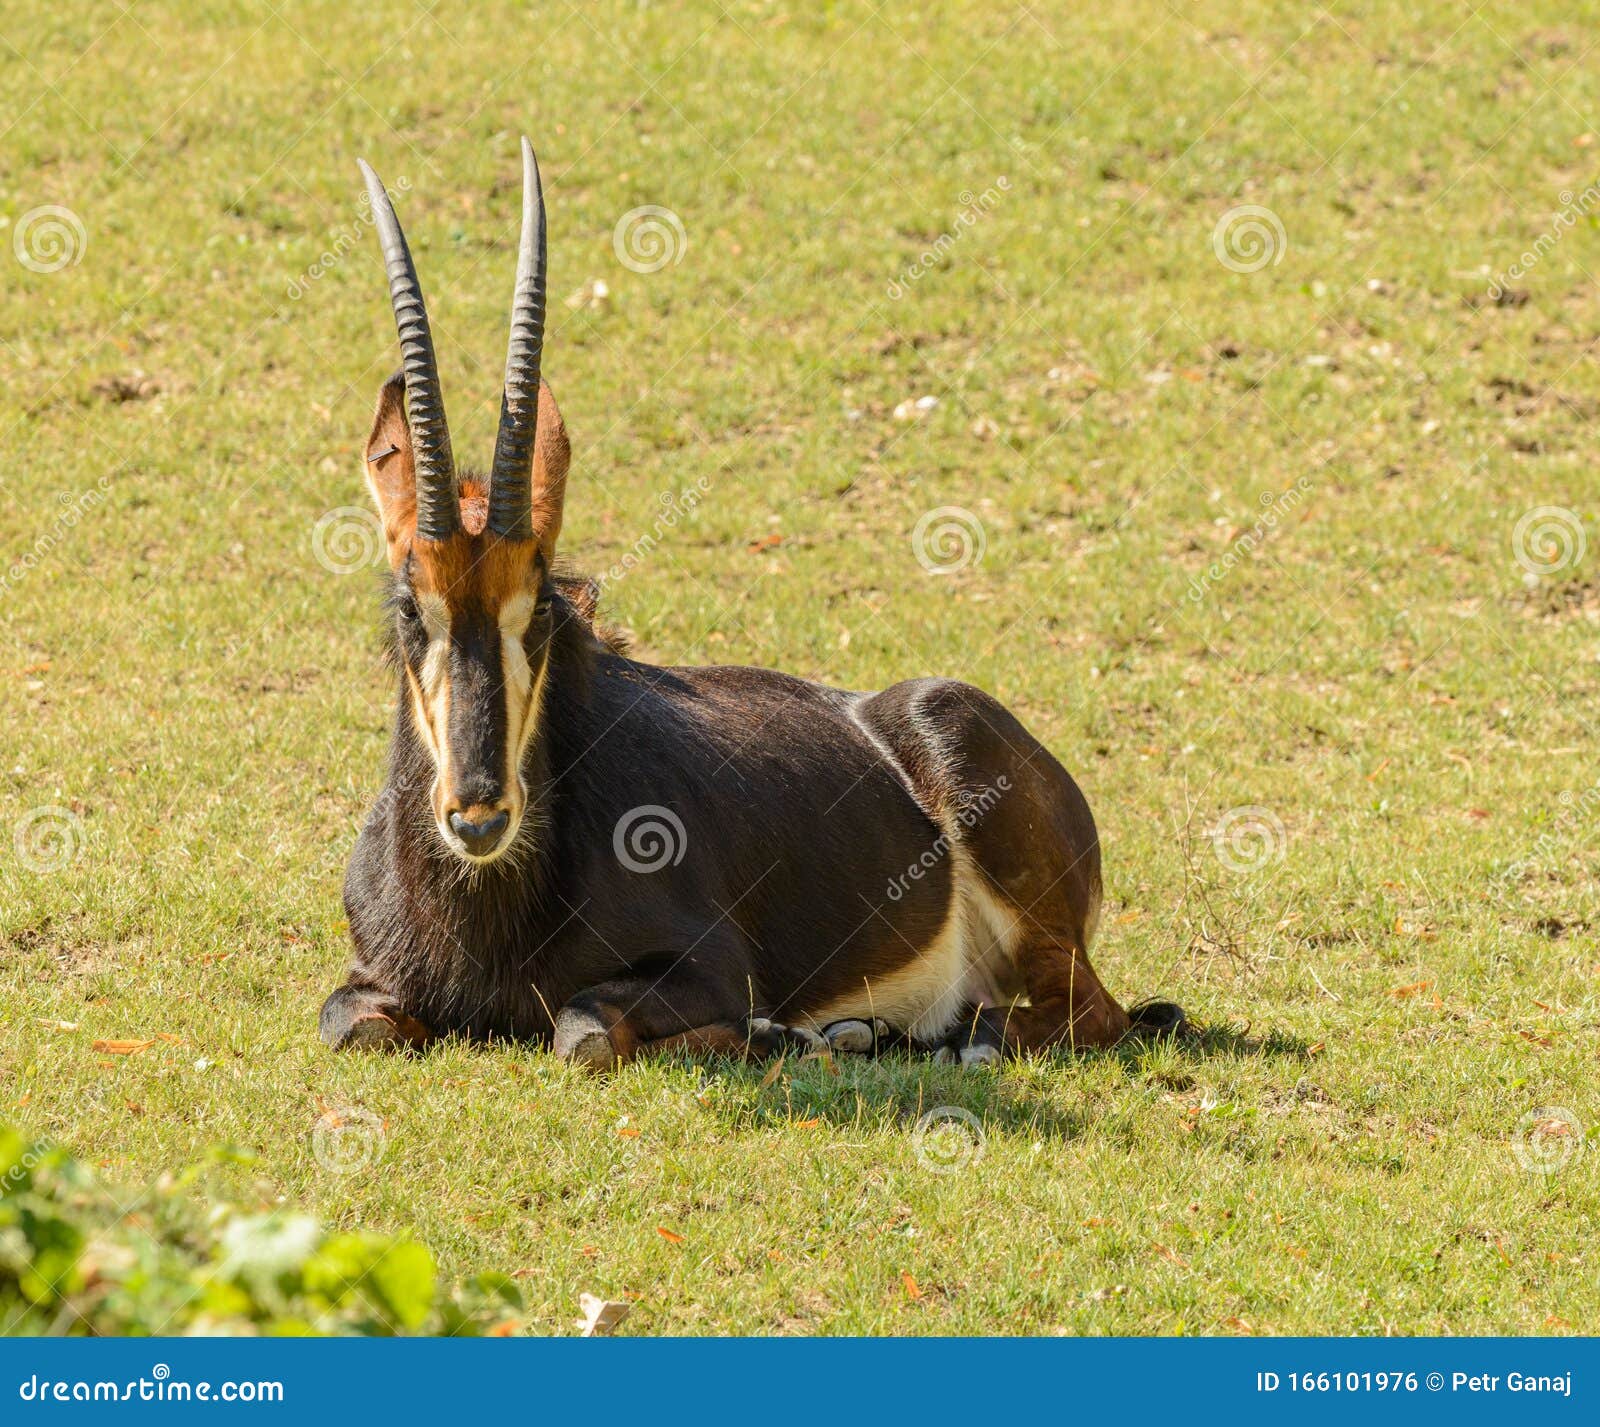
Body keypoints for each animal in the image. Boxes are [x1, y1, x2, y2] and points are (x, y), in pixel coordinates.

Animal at [319, 139, 1186, 1068]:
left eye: (541, 606)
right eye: (412, 607)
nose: (479, 814)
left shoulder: (708, 968)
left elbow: (583, 1029)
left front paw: (773, 1031)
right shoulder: (369, 980)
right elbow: (349, 1021)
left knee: (1092, 1015)